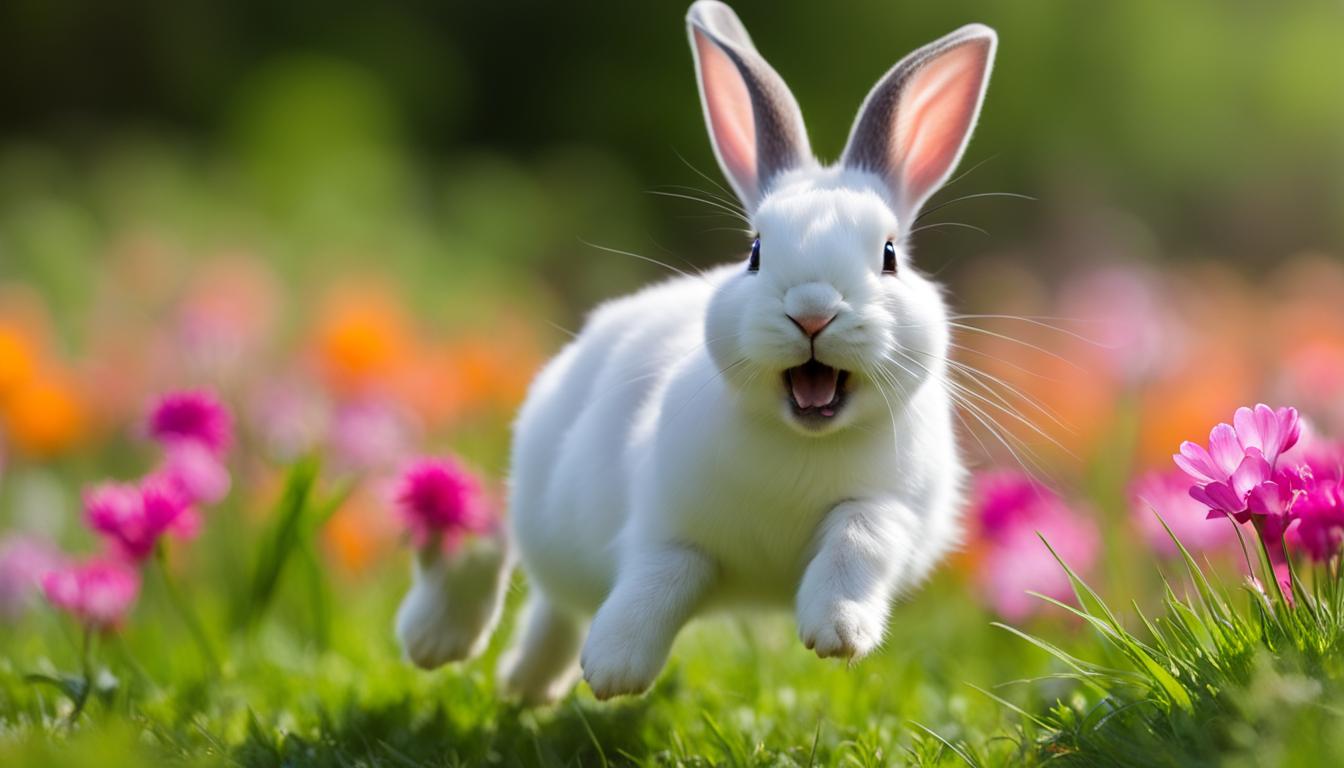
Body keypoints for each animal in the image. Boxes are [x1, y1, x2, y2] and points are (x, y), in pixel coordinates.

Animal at [395, 0, 997, 705]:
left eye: (890, 254)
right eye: (756, 252)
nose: (812, 311)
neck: (802, 444)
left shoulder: (891, 510)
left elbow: (859, 539)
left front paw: (838, 634)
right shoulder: (667, 525)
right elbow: (664, 575)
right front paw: (615, 667)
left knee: (553, 603)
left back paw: (526, 685)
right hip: (544, 500)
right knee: (500, 544)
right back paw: (440, 636)